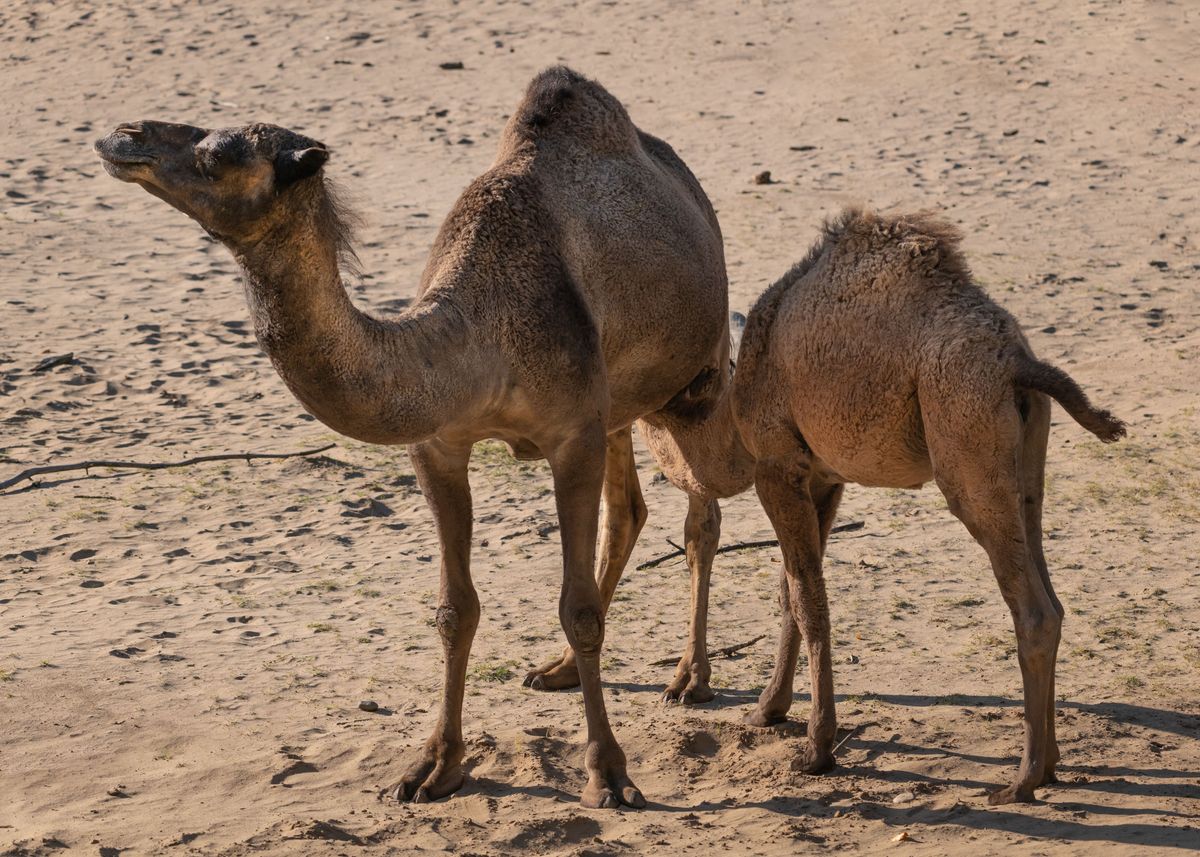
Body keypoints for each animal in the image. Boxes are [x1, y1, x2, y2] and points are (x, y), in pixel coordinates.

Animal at [93, 66, 736, 809]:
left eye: (220, 152)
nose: (123, 134)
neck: (478, 336)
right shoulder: (438, 446)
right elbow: (455, 610)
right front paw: (434, 766)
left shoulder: (571, 434)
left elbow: (577, 608)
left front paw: (608, 772)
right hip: (620, 405)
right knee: (628, 510)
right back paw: (560, 670)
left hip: (699, 371)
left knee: (701, 515)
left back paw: (692, 677)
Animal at [635, 208, 1127, 804]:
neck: (732, 404)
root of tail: (1017, 361)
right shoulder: (823, 477)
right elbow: (790, 591)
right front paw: (767, 710)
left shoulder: (776, 467)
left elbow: (809, 601)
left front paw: (816, 749)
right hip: (1028, 457)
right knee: (1047, 583)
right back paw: (1050, 764)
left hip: (963, 431)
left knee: (1032, 609)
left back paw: (1022, 780)